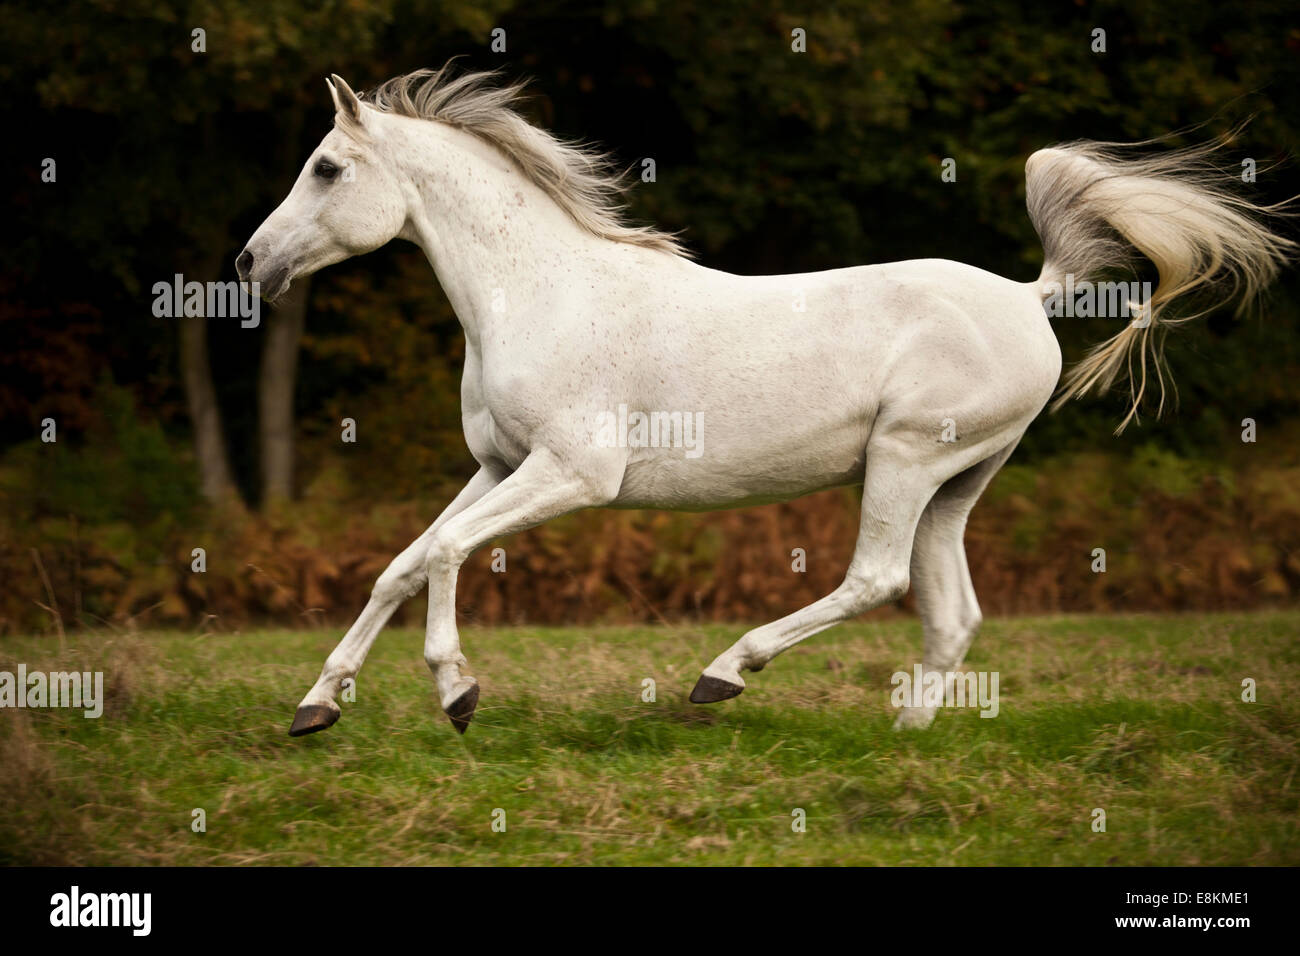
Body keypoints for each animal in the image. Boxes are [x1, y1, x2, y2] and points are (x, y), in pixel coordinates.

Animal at [234, 65, 1294, 738]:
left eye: (327, 167)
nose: (250, 263)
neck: (538, 293)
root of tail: (1030, 297)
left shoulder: (573, 473)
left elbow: (449, 552)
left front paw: (457, 694)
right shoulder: (498, 464)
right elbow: (402, 564)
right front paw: (316, 706)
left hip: (904, 458)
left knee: (878, 580)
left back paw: (724, 676)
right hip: (957, 480)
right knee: (951, 612)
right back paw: (905, 740)